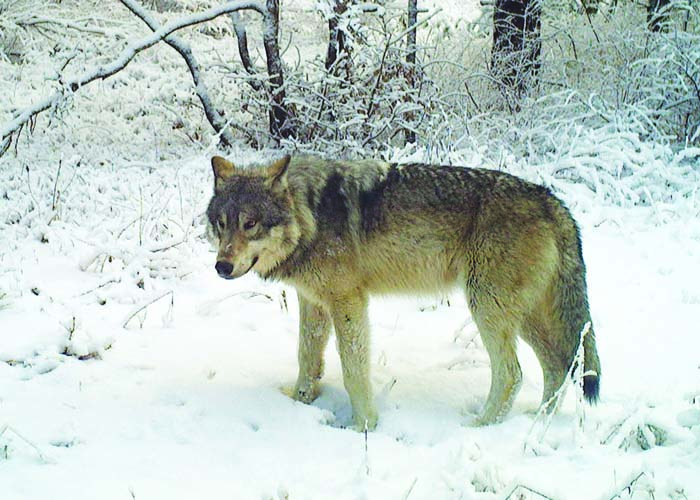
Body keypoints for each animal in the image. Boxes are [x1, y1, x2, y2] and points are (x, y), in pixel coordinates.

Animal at [206, 154, 601, 431]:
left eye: (250, 224)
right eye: (221, 224)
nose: (221, 266)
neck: (311, 217)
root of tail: (554, 202)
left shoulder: (348, 301)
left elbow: (353, 370)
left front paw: (363, 425)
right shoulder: (313, 301)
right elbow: (306, 357)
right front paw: (301, 402)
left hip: (488, 309)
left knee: (512, 375)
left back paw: (481, 427)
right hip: (524, 318)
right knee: (559, 368)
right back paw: (538, 422)